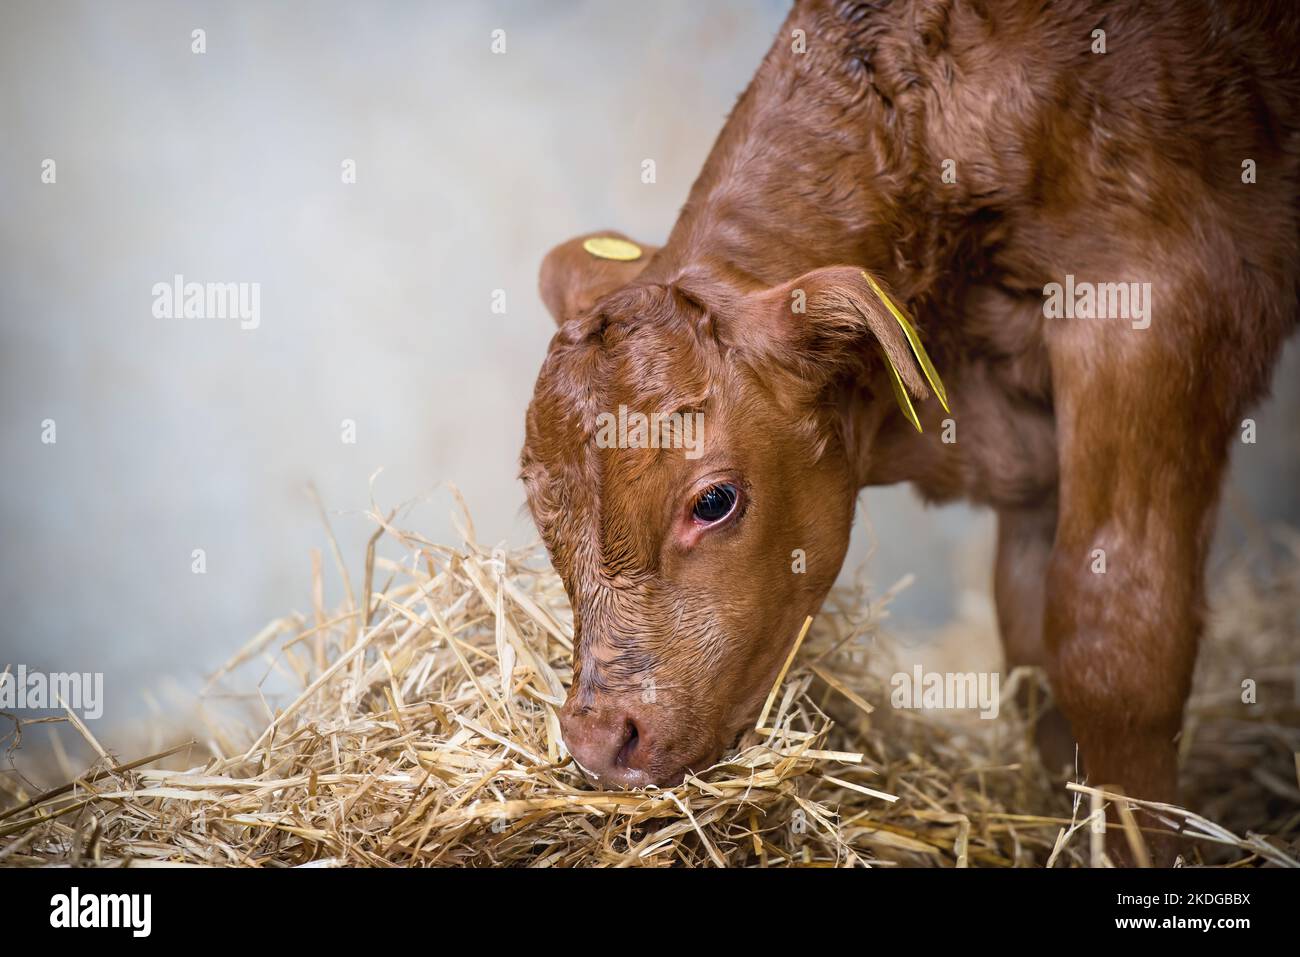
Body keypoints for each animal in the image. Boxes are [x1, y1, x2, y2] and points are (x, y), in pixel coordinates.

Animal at [520, 0, 1300, 860]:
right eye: (540, 508)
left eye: (714, 501)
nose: (599, 739)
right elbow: (1034, 644)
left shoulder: (1158, 307)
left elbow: (1115, 639)